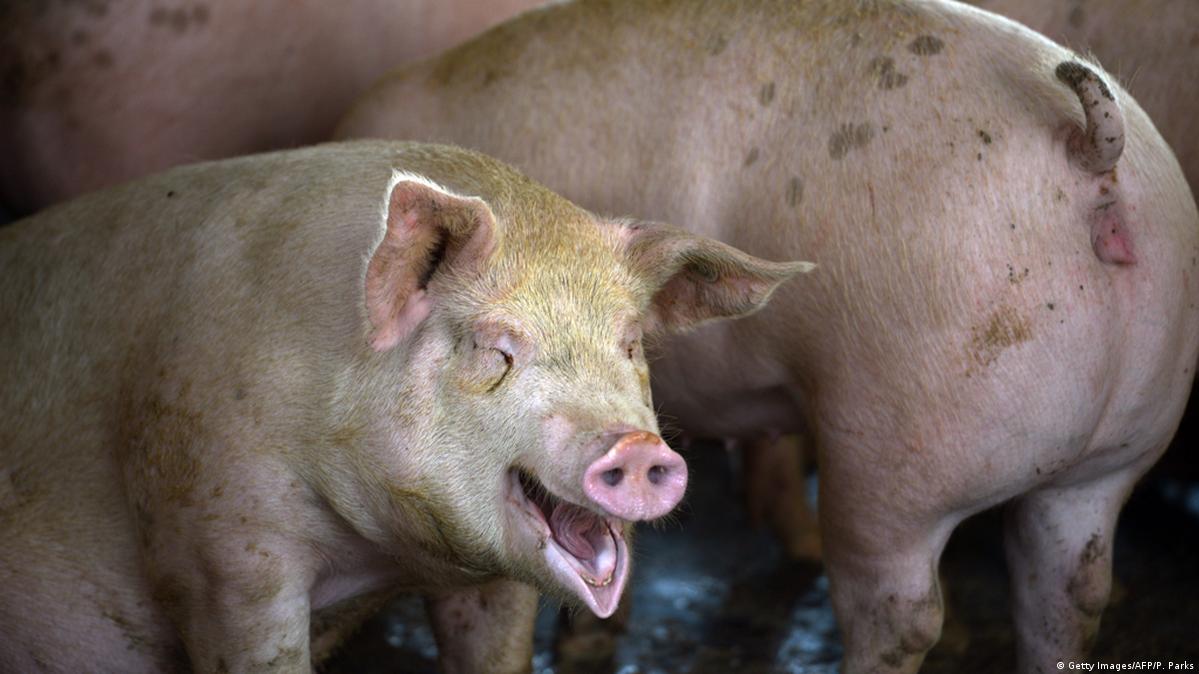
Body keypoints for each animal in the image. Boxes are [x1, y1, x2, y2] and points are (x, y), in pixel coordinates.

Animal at [0, 140, 809, 672]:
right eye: (496, 348)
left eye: (631, 344)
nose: (637, 449)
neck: (377, 555)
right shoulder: (214, 551)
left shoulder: (494, 583)